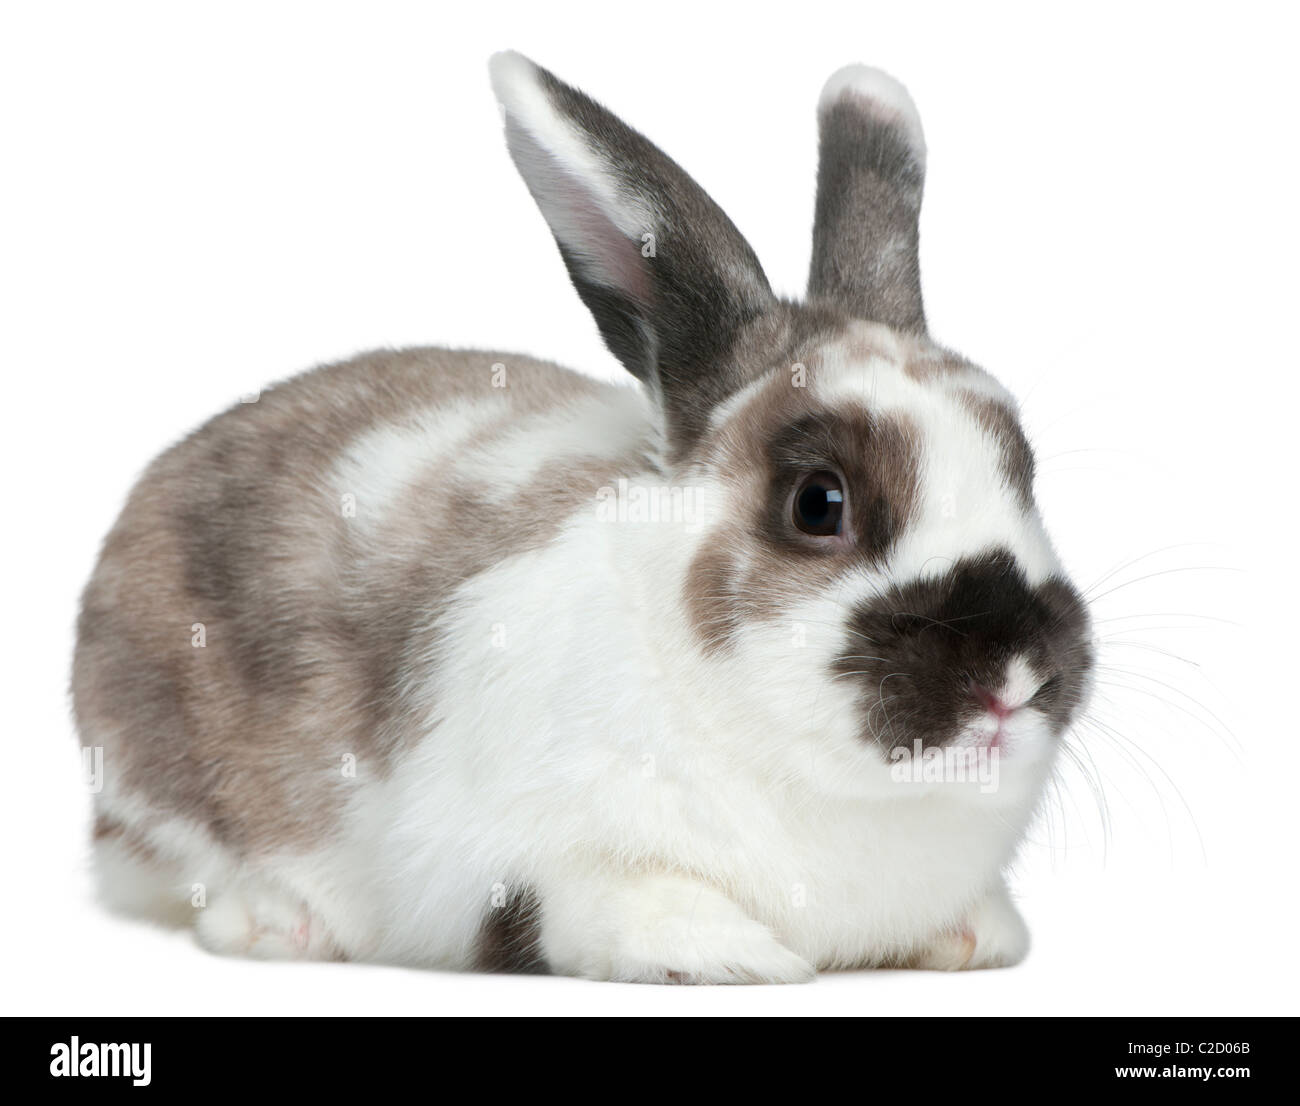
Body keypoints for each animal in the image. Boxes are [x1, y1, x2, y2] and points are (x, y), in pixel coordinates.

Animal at [72, 51, 1095, 983]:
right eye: (819, 502)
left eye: (1023, 470)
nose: (1016, 673)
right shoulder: (518, 858)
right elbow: (604, 900)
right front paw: (727, 957)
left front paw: (976, 938)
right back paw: (276, 921)